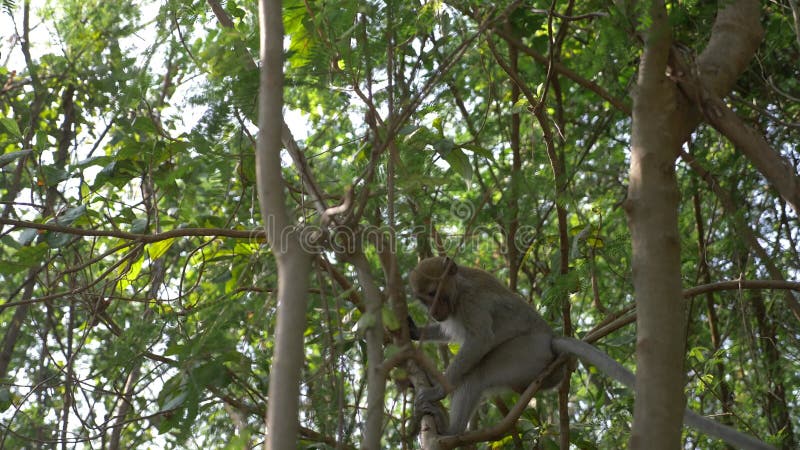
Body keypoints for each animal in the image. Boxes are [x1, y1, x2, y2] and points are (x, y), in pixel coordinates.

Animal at [408, 256, 774, 450]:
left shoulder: (471, 304)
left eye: (436, 293)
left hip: (525, 354)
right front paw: (411, 332)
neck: (457, 293)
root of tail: (551, 339)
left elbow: (479, 341)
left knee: (479, 371)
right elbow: (446, 335)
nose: (436, 311)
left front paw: (437, 389)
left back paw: (450, 431)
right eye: (426, 299)